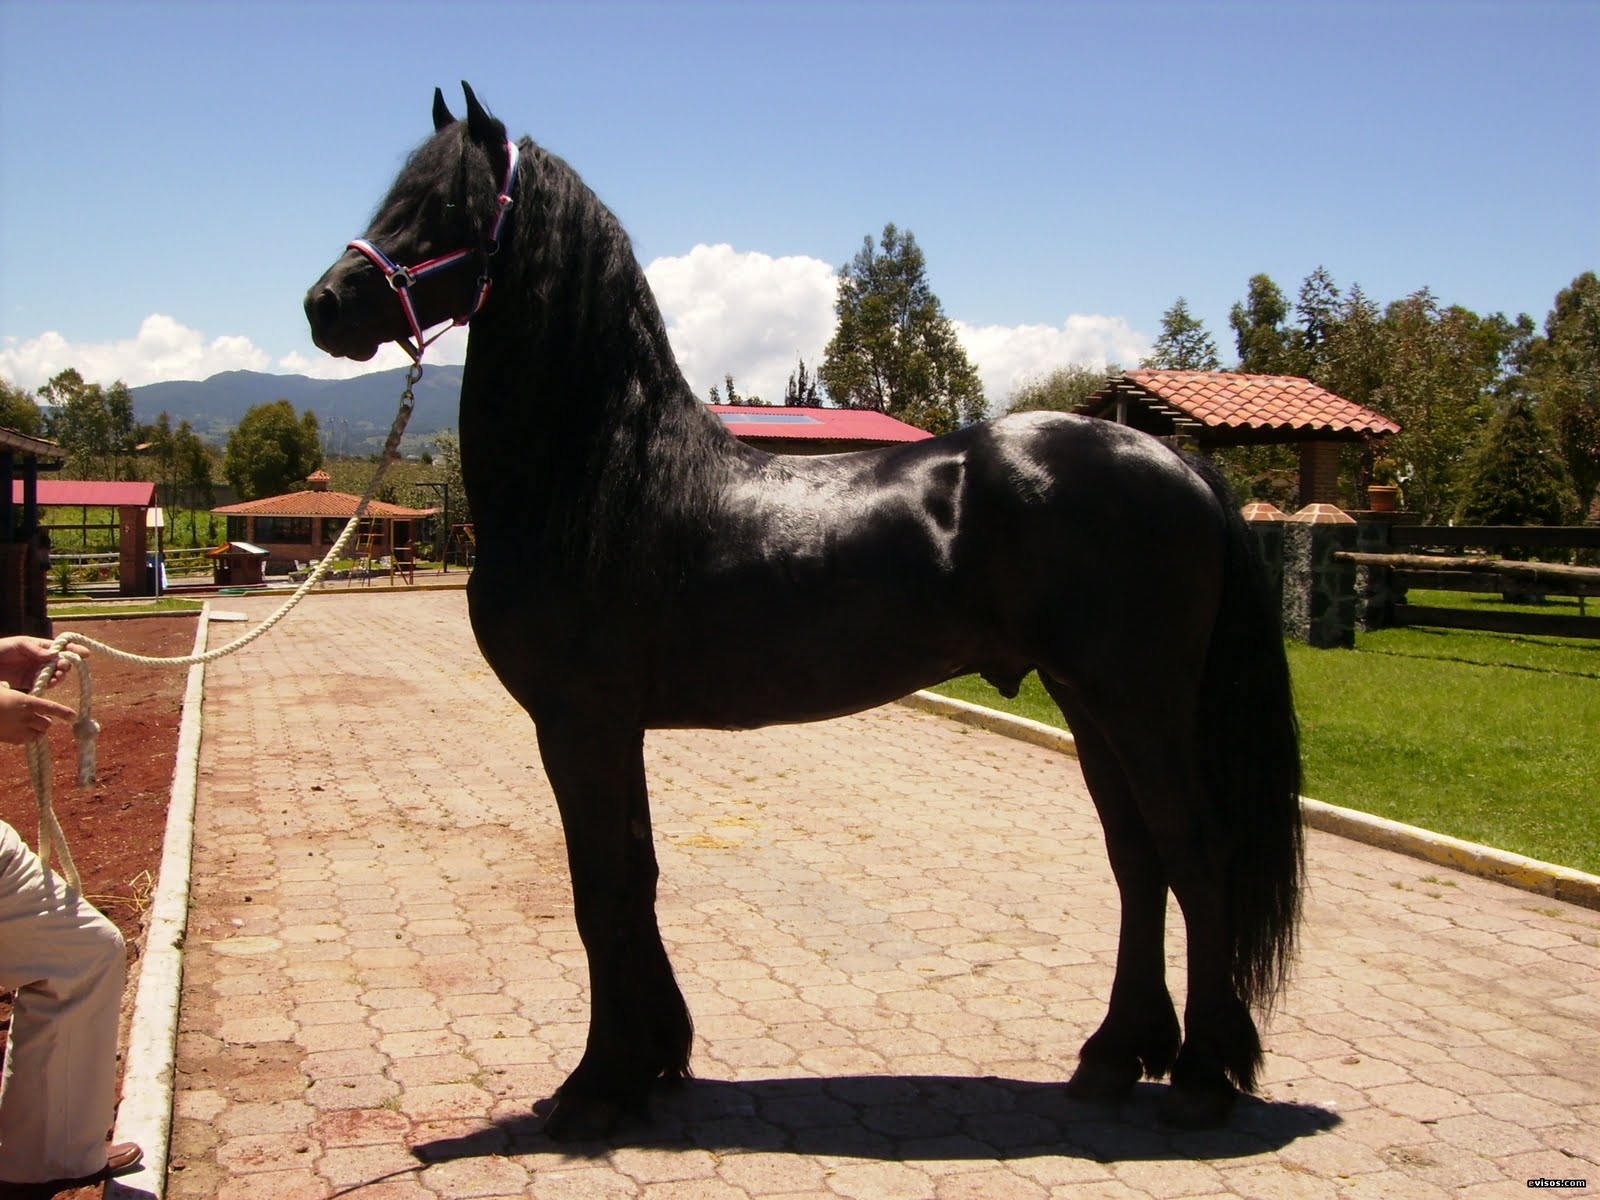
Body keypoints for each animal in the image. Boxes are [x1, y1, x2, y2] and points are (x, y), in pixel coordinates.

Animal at [305, 83, 1303, 1139]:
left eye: (446, 205)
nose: (325, 304)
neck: (602, 475)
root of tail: (1177, 461)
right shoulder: (616, 729)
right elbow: (637, 877)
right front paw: (656, 1060)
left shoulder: (580, 724)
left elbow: (601, 888)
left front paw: (596, 1085)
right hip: (1089, 702)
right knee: (1137, 859)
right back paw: (1116, 1056)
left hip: (1140, 706)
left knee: (1197, 853)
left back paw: (1201, 1077)